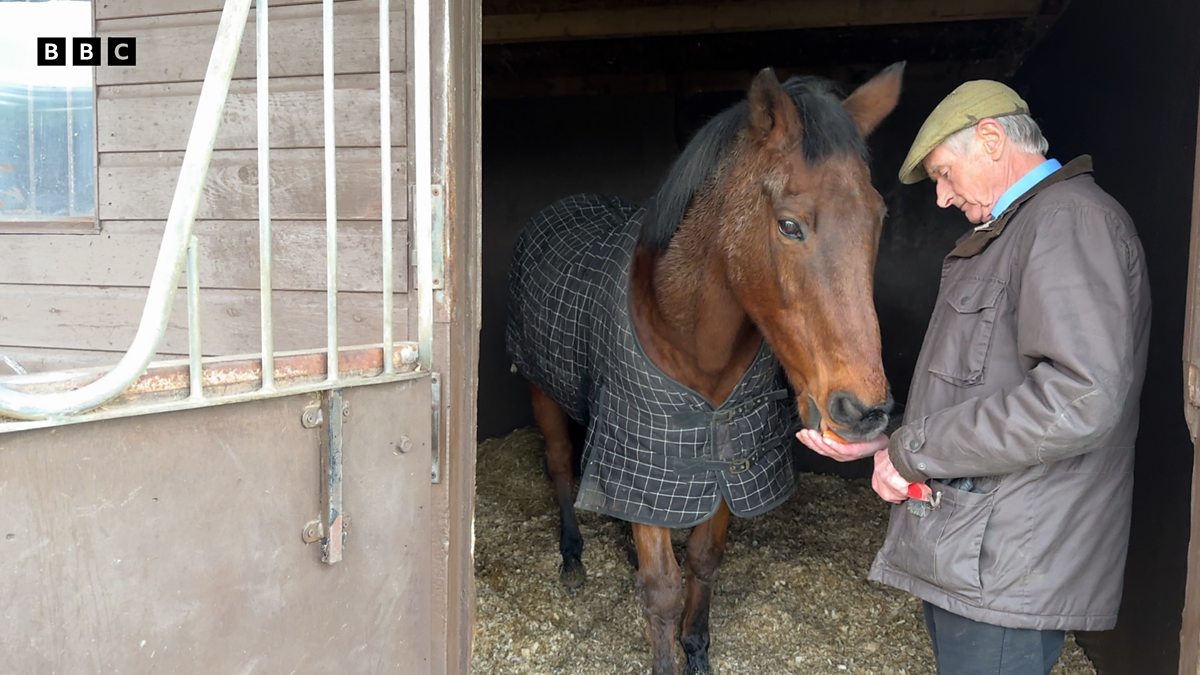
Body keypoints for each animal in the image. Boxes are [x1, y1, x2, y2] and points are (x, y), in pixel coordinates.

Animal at [505, 63, 903, 675]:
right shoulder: (646, 455)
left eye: (877, 218)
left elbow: (704, 559)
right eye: (790, 225)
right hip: (541, 389)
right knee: (560, 467)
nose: (863, 410)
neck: (687, 332)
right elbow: (662, 588)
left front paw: (696, 649)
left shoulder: (724, 462)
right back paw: (572, 556)